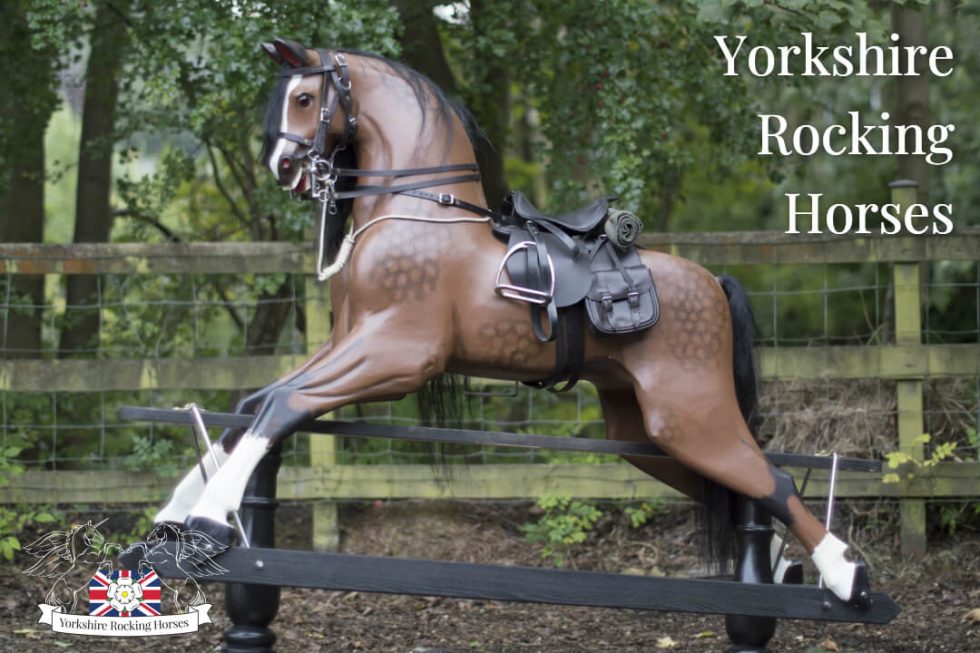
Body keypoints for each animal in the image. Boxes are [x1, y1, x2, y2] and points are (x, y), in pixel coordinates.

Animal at [149, 37, 871, 608]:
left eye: (303, 98)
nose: (283, 168)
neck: (419, 210)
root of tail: (713, 284)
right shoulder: (349, 342)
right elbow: (255, 402)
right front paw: (174, 511)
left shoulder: (397, 354)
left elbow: (281, 407)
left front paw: (208, 519)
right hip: (644, 433)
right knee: (738, 487)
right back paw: (784, 564)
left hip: (690, 415)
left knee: (772, 479)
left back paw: (844, 574)